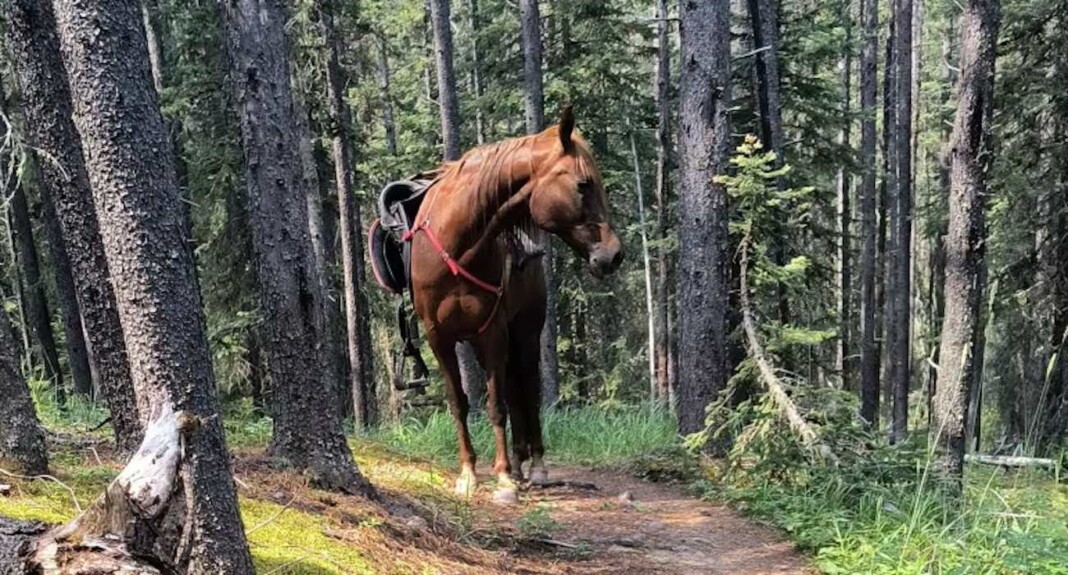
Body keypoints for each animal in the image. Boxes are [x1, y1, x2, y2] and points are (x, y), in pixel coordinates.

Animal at [406, 106, 623, 504]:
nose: (614, 255)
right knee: (513, 387)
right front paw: (468, 473)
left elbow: (497, 405)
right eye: (583, 184)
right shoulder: (439, 338)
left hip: (524, 332)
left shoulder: (493, 331)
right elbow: (459, 403)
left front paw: (504, 478)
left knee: (528, 389)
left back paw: (533, 466)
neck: (458, 245)